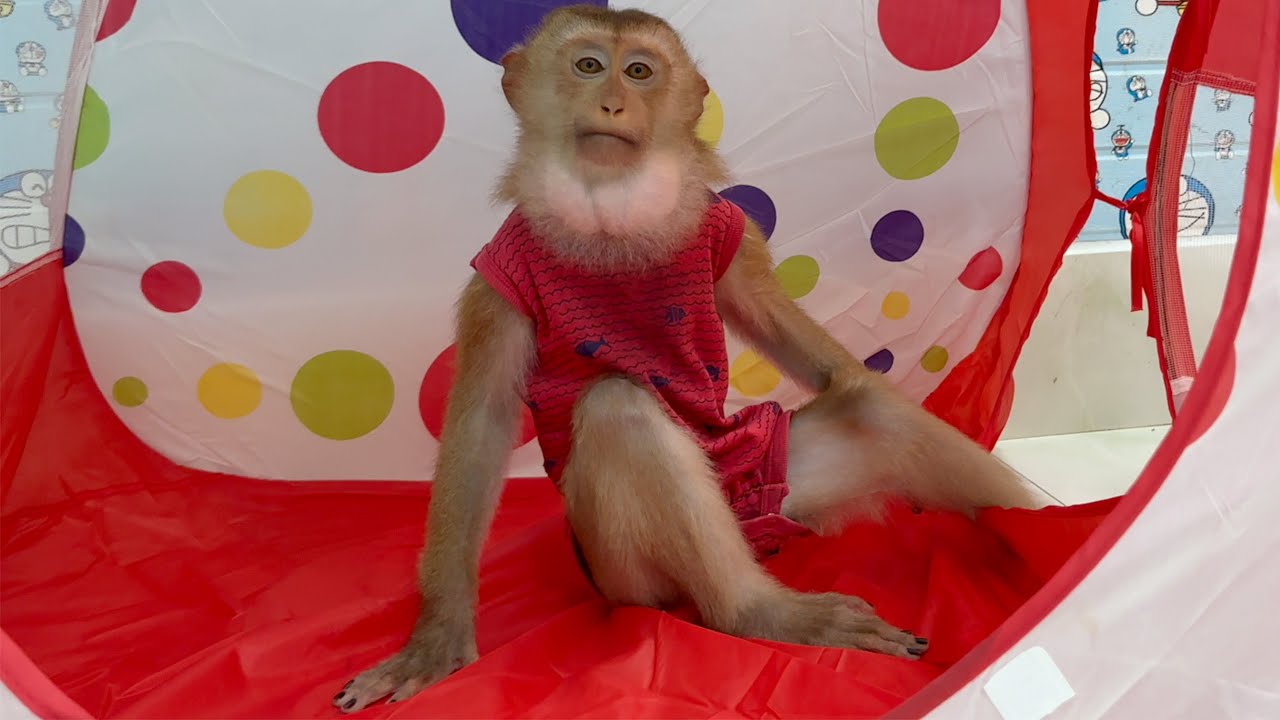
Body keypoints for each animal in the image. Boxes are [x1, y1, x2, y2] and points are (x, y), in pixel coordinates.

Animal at [333, 6, 1039, 712]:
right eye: (588, 65)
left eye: (640, 71)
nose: (613, 102)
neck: (609, 221)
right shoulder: (497, 279)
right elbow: (479, 434)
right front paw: (437, 638)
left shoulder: (730, 232)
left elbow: (822, 361)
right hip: (631, 581)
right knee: (618, 408)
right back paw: (761, 613)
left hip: (772, 481)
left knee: (869, 409)